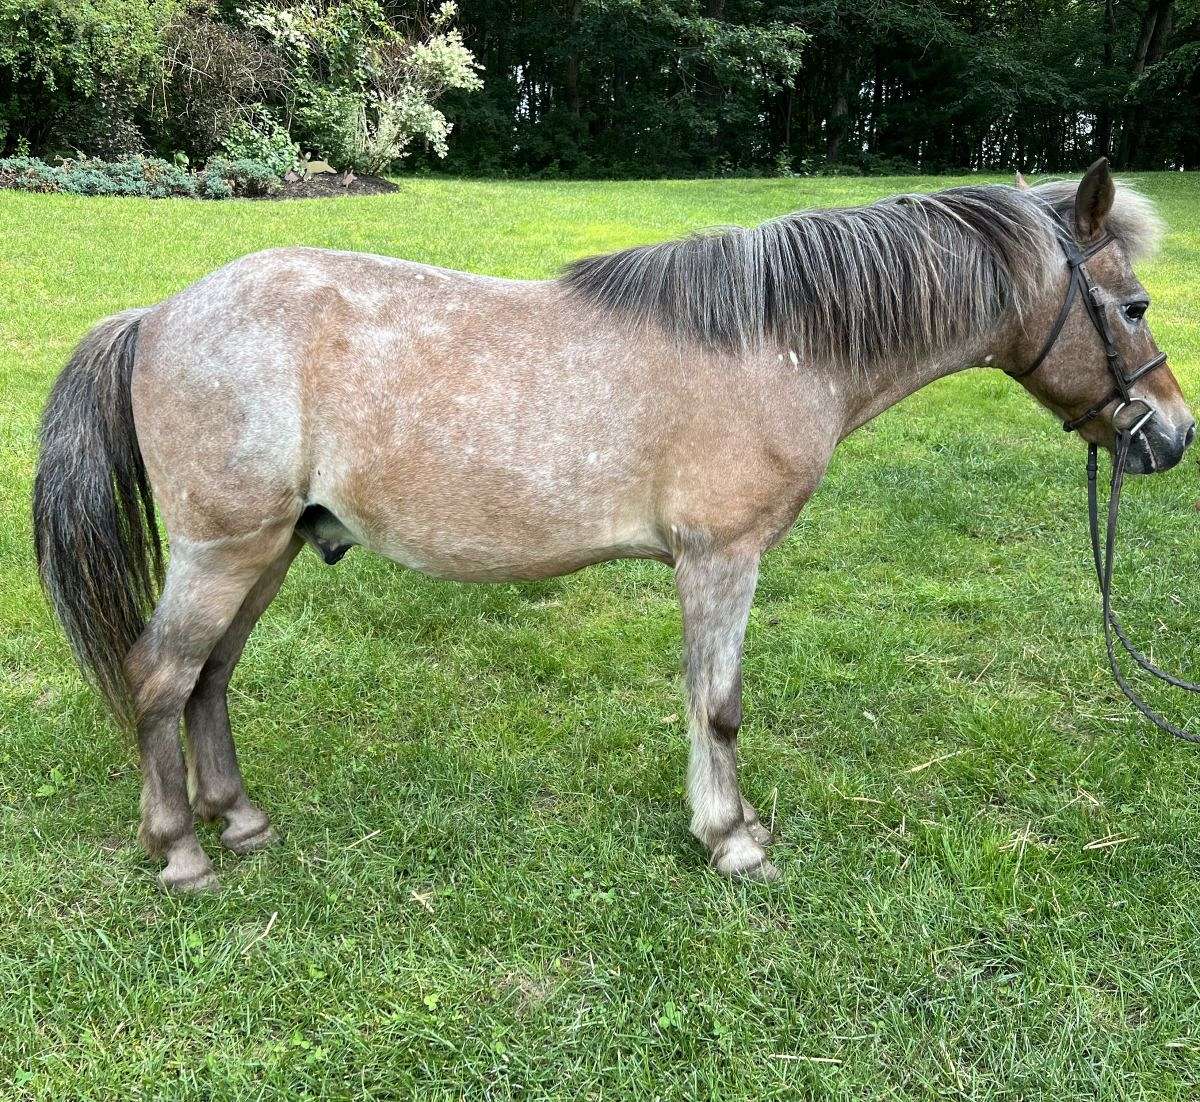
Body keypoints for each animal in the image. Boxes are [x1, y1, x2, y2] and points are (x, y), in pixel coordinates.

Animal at [33, 158, 1194, 892]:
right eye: (1135, 307)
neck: (774, 340)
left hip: (262, 553)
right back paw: (181, 851)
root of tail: (156, 317)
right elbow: (718, 705)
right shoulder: (721, 560)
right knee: (161, 678)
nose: (1172, 434)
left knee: (210, 681)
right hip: (221, 553)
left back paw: (240, 820)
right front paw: (731, 840)